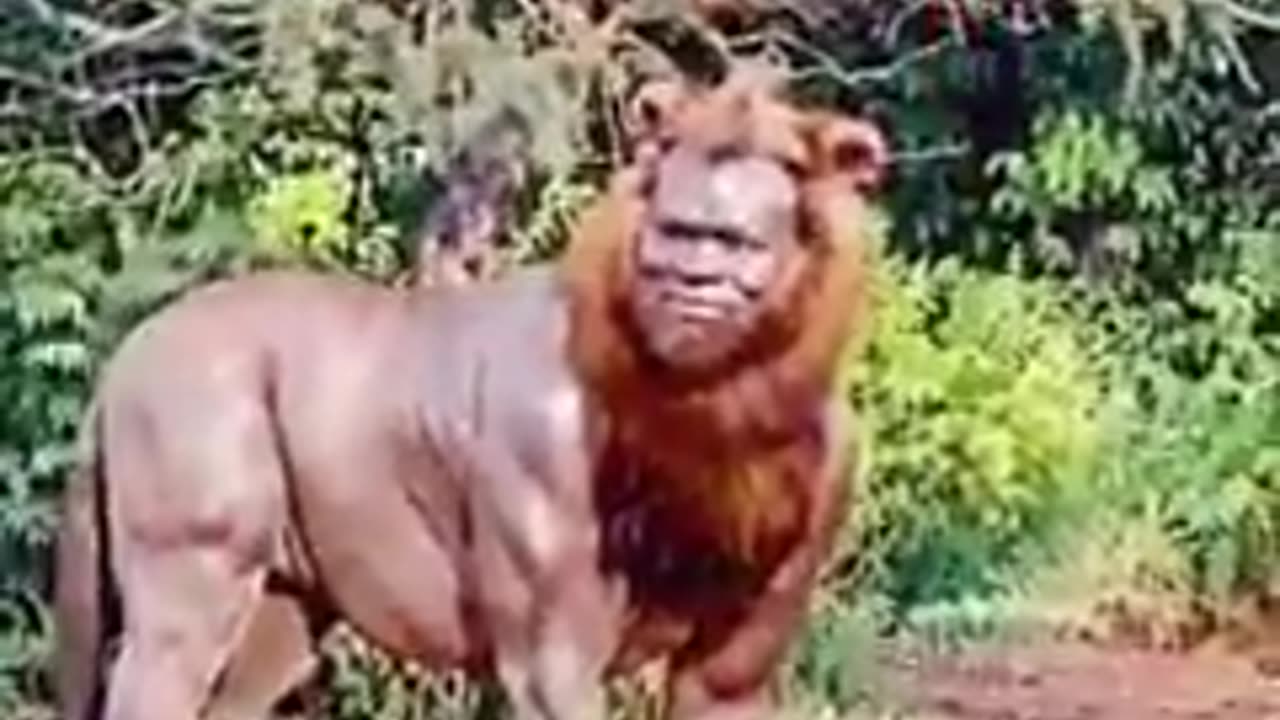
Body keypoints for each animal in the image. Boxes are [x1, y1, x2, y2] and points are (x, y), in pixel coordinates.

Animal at [53, 71, 888, 720]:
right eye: (679, 231)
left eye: (735, 242)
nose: (692, 283)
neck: (715, 396)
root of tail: (128, 352)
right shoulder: (550, 644)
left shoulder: (737, 659)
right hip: (190, 577)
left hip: (279, 614)